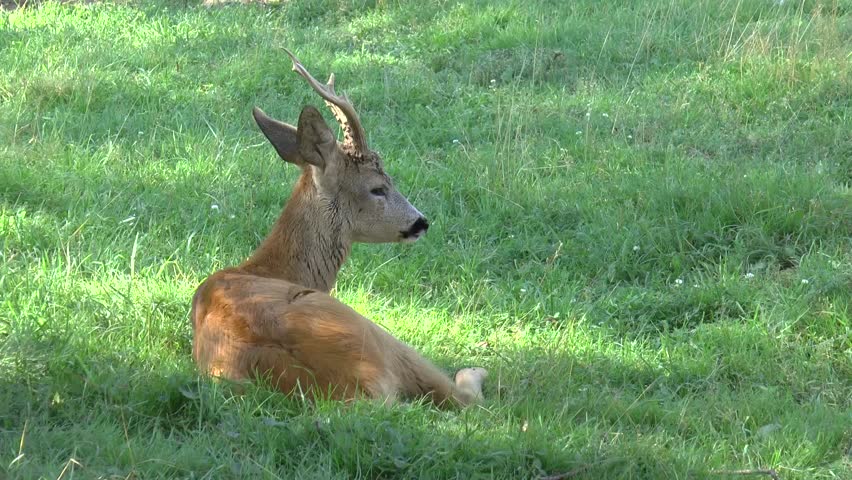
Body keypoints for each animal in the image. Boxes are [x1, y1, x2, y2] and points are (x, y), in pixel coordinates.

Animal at [190, 49, 488, 408]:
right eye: (378, 188)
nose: (421, 222)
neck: (269, 268)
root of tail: (358, 389)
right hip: (380, 338)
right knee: (462, 397)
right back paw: (475, 369)